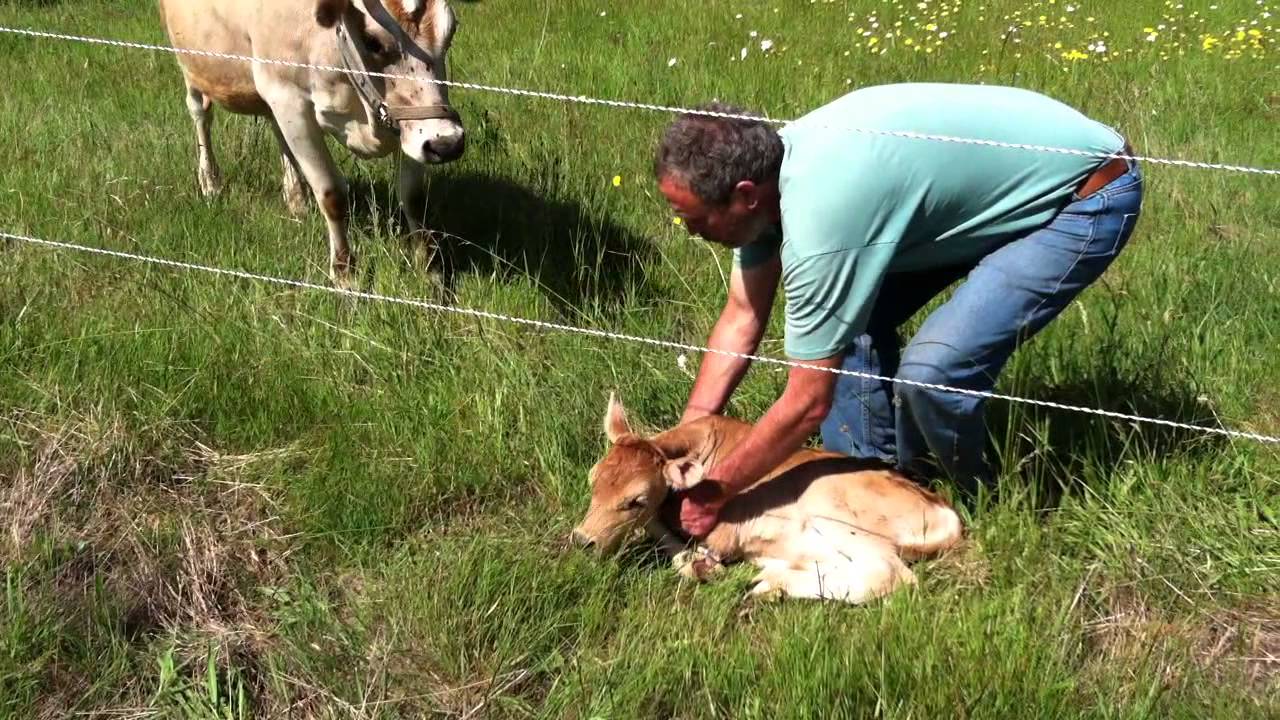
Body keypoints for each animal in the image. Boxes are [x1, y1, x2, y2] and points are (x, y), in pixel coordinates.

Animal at [157, 0, 465, 285]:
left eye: (450, 32)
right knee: (201, 117)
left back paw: (296, 199)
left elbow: (413, 196)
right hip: (191, 66)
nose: (448, 144)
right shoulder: (290, 100)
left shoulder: (411, 132)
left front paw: (429, 269)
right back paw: (210, 183)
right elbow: (332, 195)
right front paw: (345, 275)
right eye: (373, 41)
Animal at [572, 394, 964, 604]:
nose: (581, 540)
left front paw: (700, 564)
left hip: (832, 512)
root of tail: (943, 509)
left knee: (888, 573)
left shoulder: (719, 531)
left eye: (636, 499)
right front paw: (697, 563)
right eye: (592, 480)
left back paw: (771, 583)